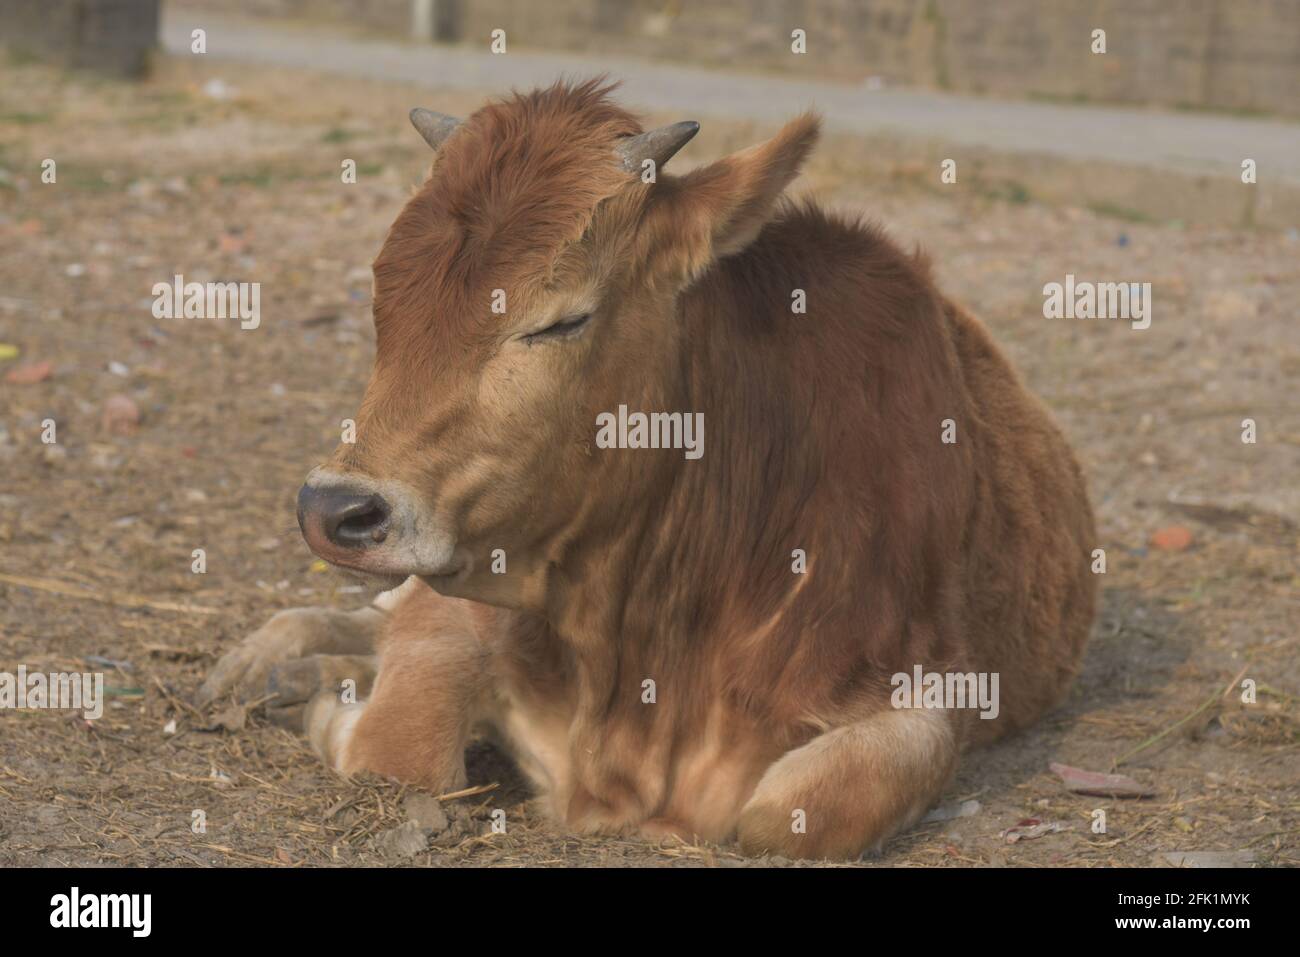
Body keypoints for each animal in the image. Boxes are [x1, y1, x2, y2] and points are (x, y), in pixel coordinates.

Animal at [199, 80, 1097, 860]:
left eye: (561, 321)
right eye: (385, 297)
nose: (333, 509)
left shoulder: (934, 685)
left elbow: (794, 808)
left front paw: (320, 688)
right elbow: (405, 744)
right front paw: (321, 695)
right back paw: (267, 663)